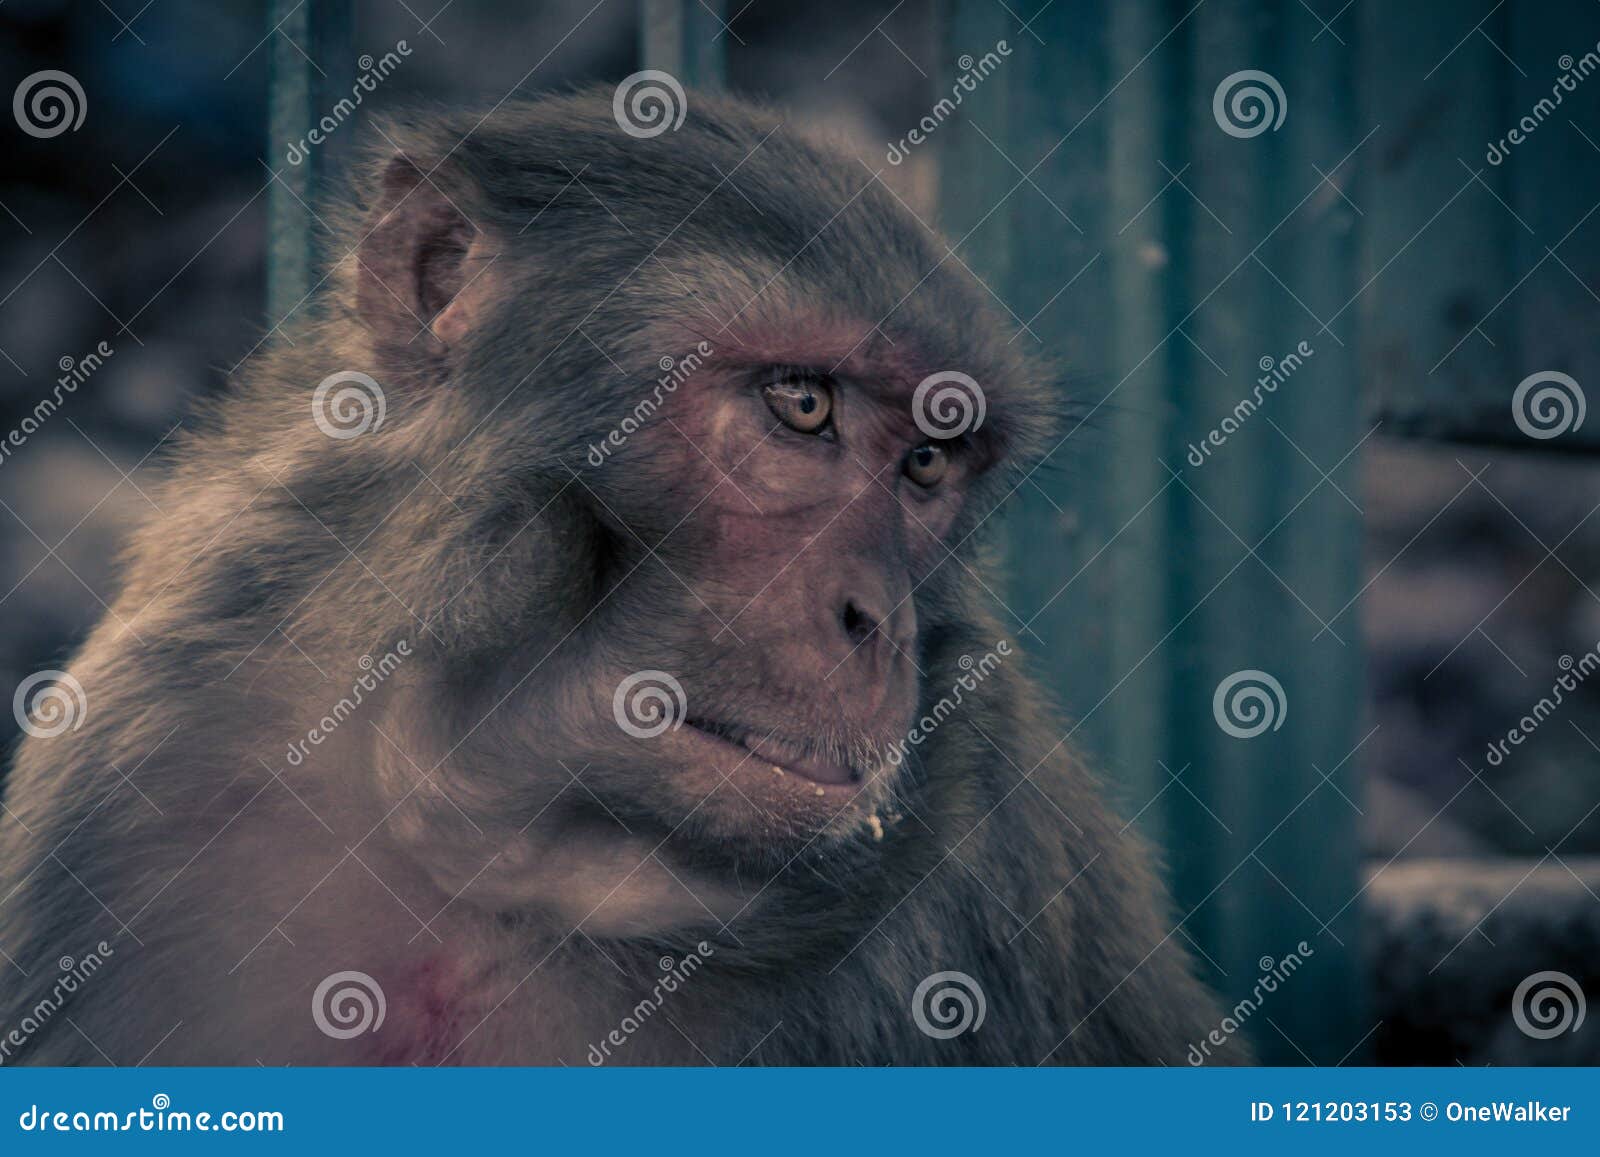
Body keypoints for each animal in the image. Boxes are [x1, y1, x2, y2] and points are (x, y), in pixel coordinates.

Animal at [0, 89, 1243, 1066]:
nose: (875, 621)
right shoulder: (148, 751)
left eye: (928, 461)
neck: (512, 857)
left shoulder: (994, 820)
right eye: (802, 403)